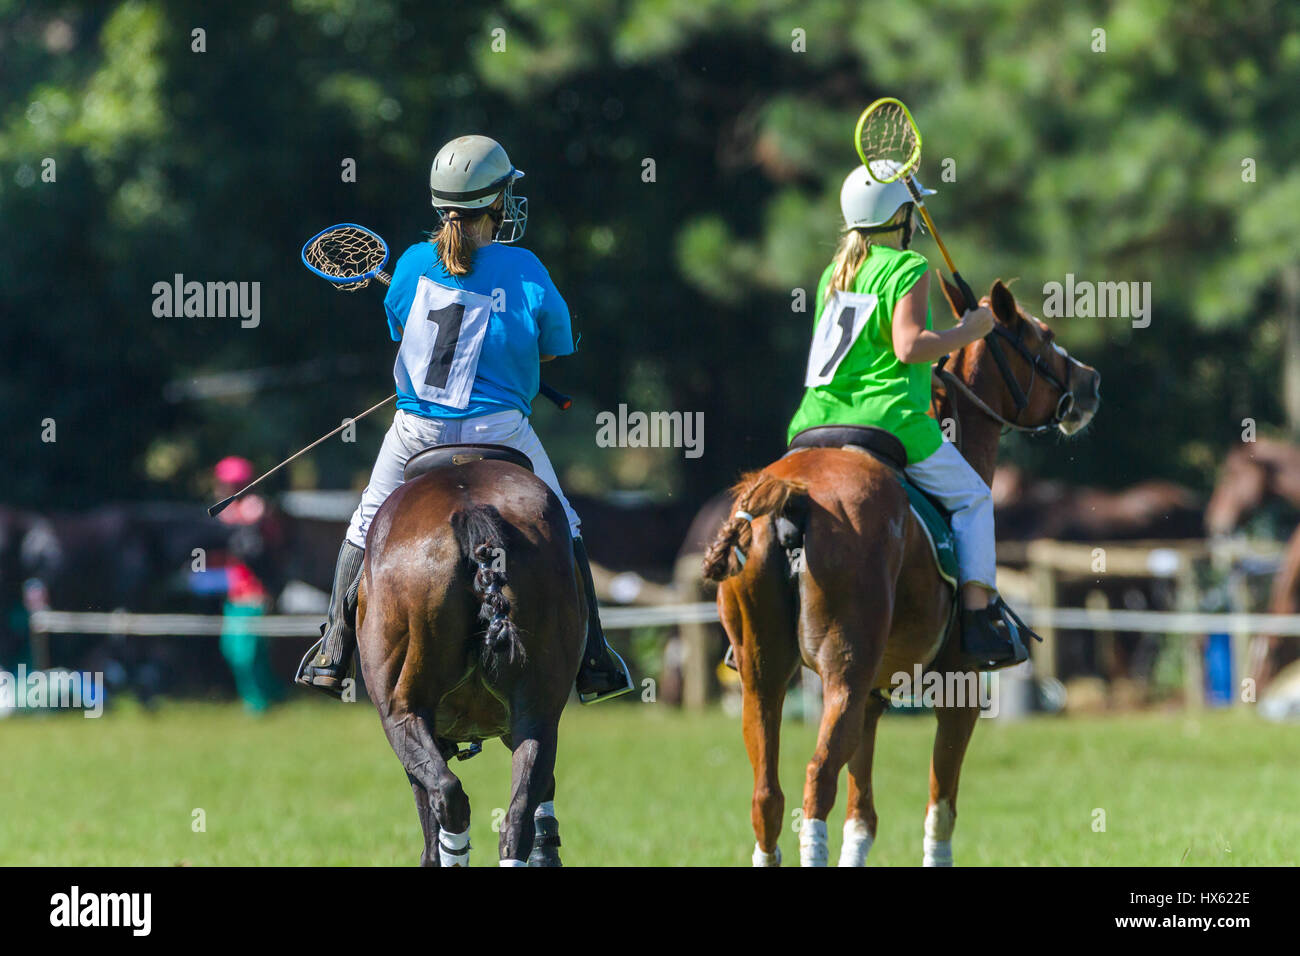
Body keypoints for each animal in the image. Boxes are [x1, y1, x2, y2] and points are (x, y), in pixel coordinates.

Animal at [354, 445, 585, 866]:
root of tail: (469, 505)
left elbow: (429, 812)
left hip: (401, 710)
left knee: (448, 796)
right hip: (537, 712)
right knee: (516, 816)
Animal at [702, 278, 1100, 866]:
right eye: (1043, 336)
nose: (1090, 381)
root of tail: (786, 496)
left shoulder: (873, 694)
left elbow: (861, 816)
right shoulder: (960, 686)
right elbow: (940, 810)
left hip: (762, 669)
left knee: (767, 794)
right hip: (842, 669)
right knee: (816, 777)